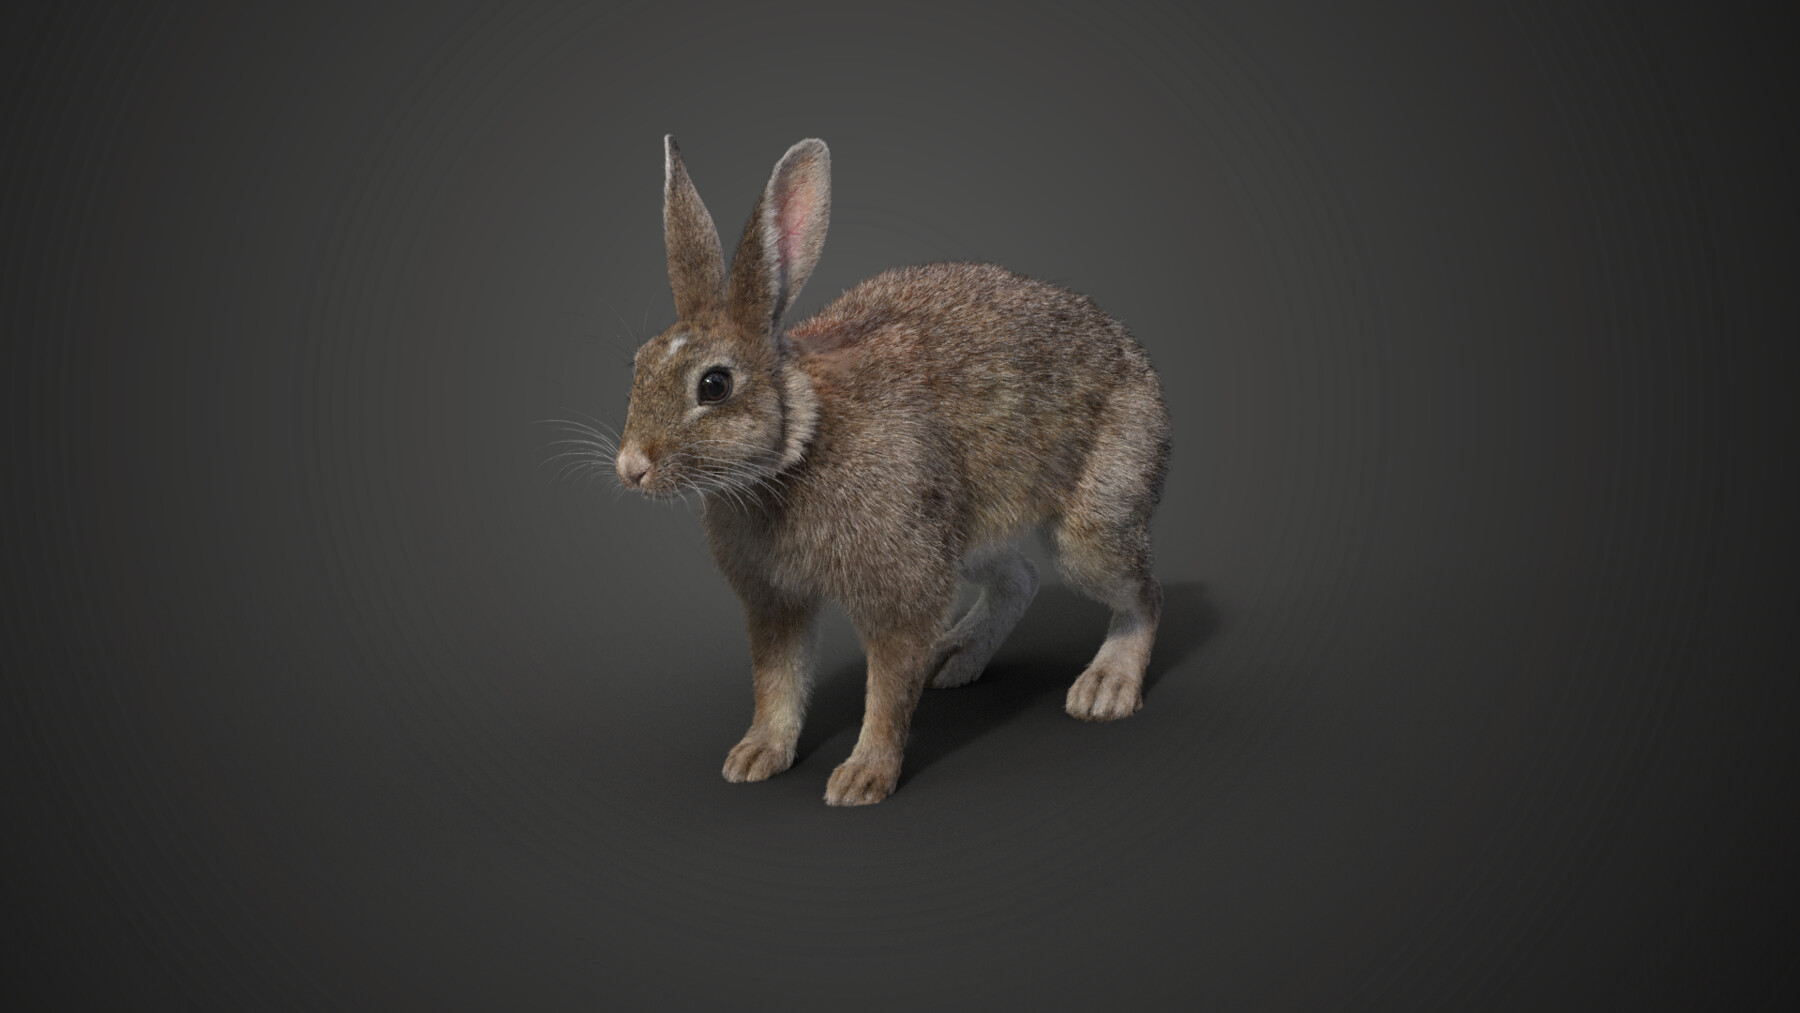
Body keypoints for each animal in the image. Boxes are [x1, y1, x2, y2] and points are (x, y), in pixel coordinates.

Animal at [612, 136, 1170, 806]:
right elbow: (777, 682)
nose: (630, 467)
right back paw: (954, 657)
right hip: (965, 536)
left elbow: (886, 690)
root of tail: (1138, 363)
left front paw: (862, 780)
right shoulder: (775, 600)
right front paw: (754, 757)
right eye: (639, 364)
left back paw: (1105, 689)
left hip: (1091, 524)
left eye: (714, 385)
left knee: (1142, 594)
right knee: (1020, 577)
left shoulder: (899, 585)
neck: (798, 448)